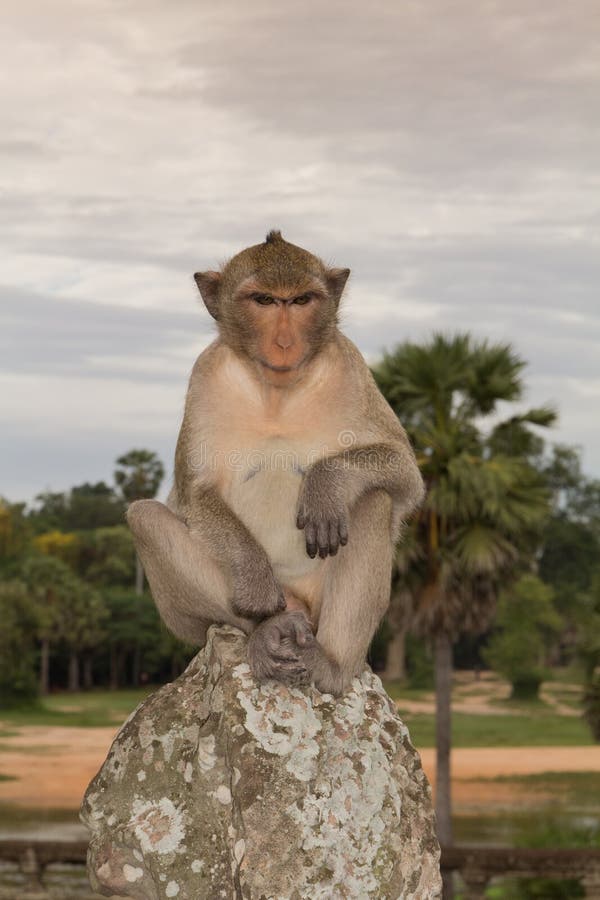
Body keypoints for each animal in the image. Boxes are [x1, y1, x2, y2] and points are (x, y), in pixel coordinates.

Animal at [127, 230, 424, 696]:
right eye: (264, 300)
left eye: (301, 300)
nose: (285, 343)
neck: (277, 390)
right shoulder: (205, 377)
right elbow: (196, 493)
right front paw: (254, 578)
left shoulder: (351, 366)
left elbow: (404, 472)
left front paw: (324, 486)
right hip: (216, 616)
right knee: (144, 518)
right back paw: (268, 628)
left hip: (319, 606)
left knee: (373, 500)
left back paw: (331, 665)